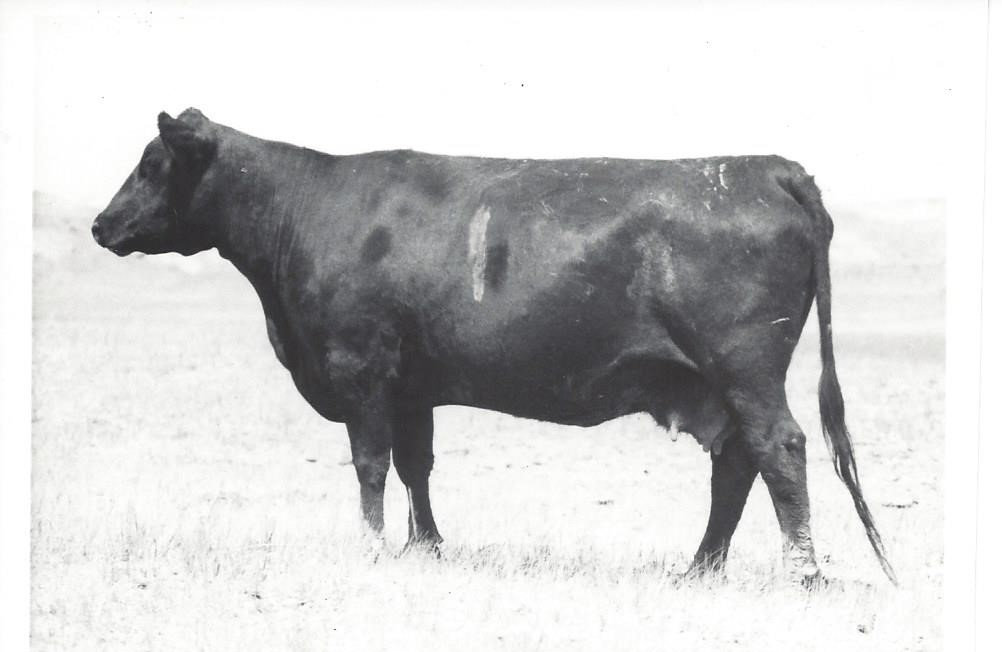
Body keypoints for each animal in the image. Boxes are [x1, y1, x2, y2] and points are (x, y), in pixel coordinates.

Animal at [91, 108, 895, 585]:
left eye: (152, 164)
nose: (101, 224)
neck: (307, 210)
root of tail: (768, 166)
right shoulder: (412, 385)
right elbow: (416, 465)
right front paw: (424, 547)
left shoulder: (361, 370)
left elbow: (371, 464)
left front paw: (370, 549)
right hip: (719, 382)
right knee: (736, 462)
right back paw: (699, 568)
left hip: (745, 369)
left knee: (778, 448)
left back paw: (802, 572)